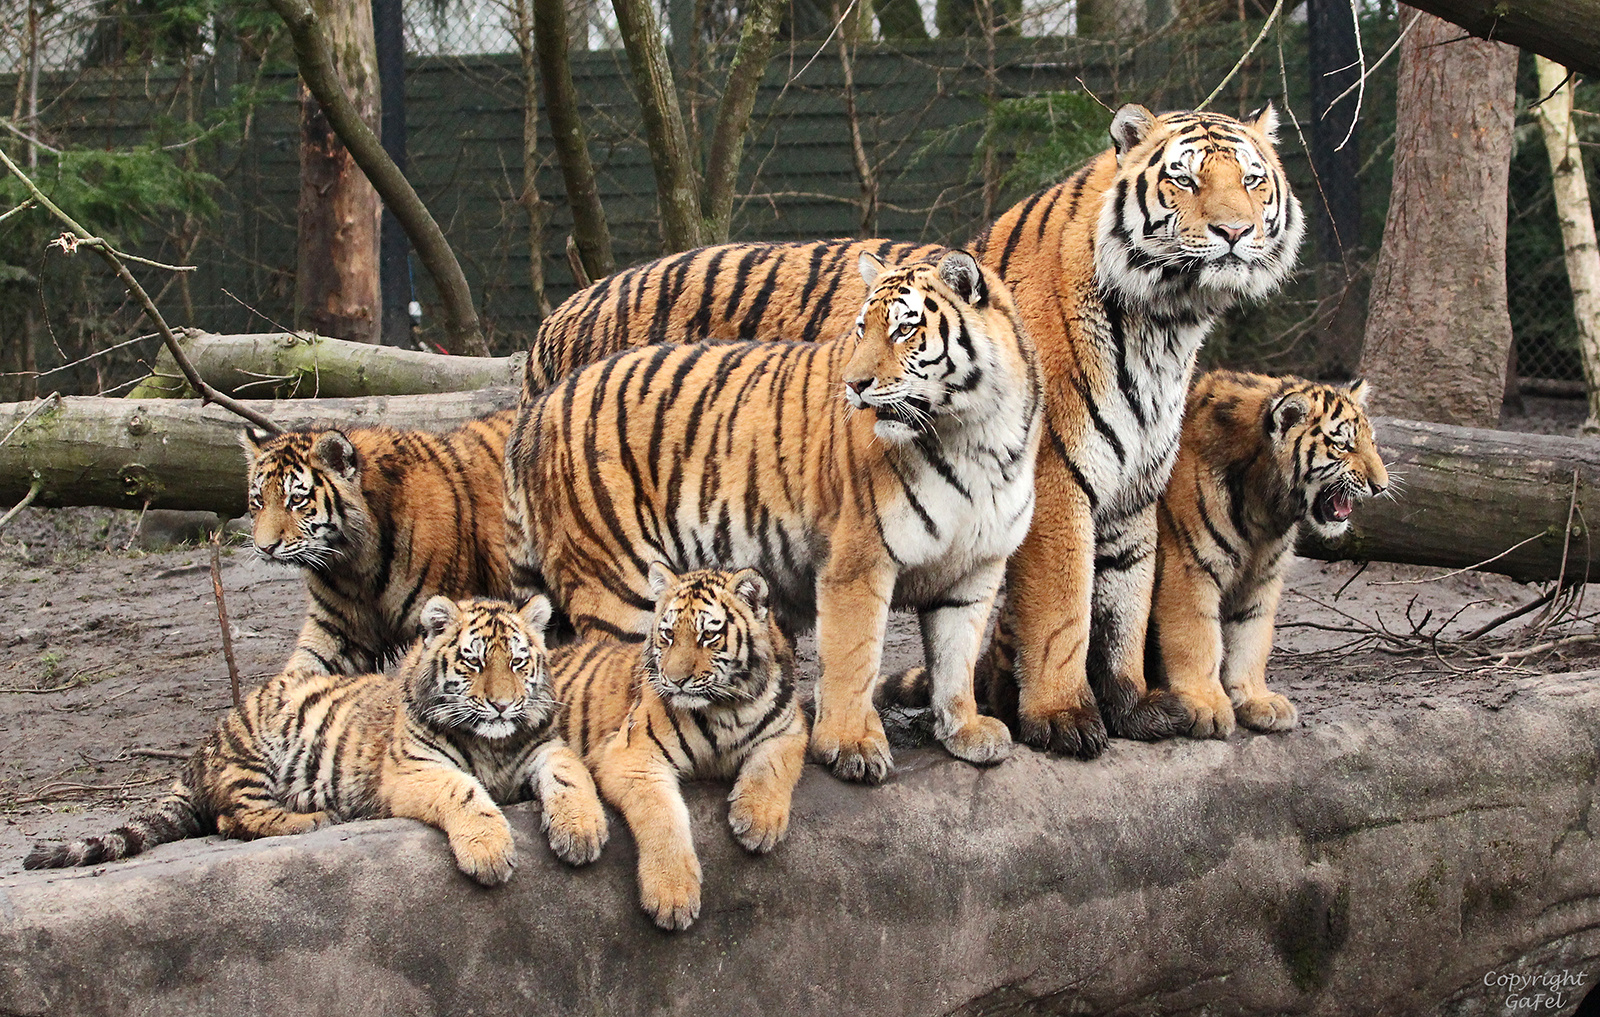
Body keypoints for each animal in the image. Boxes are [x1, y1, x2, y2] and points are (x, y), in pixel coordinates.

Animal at [24, 595, 609, 883]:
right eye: (473, 662)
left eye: (518, 662)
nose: (504, 705)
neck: (493, 742)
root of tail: (198, 752)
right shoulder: (413, 769)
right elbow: (464, 793)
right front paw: (489, 853)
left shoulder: (544, 747)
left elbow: (570, 774)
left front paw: (581, 833)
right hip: (254, 754)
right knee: (234, 816)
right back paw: (315, 818)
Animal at [507, 250, 1042, 784]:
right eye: (862, 329)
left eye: (904, 330)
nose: (855, 385)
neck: (974, 434)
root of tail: (536, 411)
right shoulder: (857, 561)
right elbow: (854, 658)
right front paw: (850, 743)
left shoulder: (976, 567)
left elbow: (957, 656)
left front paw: (965, 730)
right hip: (617, 590)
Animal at [548, 563, 808, 931]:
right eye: (668, 634)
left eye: (708, 636)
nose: (675, 680)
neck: (728, 707)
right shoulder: (634, 756)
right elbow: (663, 817)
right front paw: (672, 896)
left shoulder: (790, 729)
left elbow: (771, 768)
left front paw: (759, 822)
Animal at [1150, 371, 1387, 737]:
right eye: (1343, 445)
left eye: (1371, 443)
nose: (1381, 486)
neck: (1265, 508)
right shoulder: (1190, 565)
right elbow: (1195, 637)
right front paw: (1205, 705)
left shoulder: (1262, 577)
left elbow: (1251, 638)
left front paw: (1256, 700)